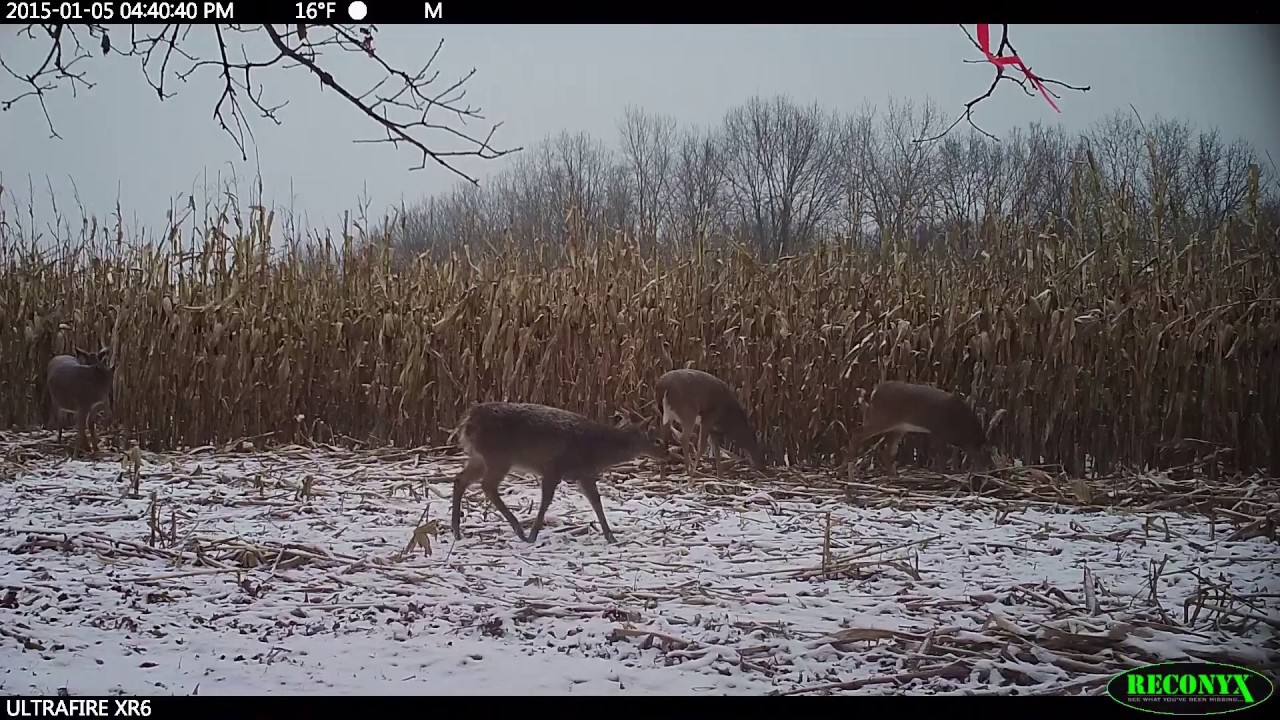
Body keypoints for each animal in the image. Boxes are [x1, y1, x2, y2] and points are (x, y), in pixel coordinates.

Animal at [449, 401, 671, 545]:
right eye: (656, 439)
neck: (598, 450)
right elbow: (547, 501)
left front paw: (610, 536)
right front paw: (533, 535)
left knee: (461, 479)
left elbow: (596, 501)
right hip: (498, 457)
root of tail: (467, 420)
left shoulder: (583, 473)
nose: (667, 453)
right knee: (487, 485)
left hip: (480, 457)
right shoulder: (554, 468)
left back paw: (457, 531)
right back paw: (520, 531)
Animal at [848, 380, 996, 475]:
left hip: (898, 427)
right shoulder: (939, 430)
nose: (989, 471)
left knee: (887, 451)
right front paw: (943, 473)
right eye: (987, 457)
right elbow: (942, 455)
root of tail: (874, 392)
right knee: (857, 434)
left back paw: (893, 475)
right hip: (881, 418)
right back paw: (850, 465)